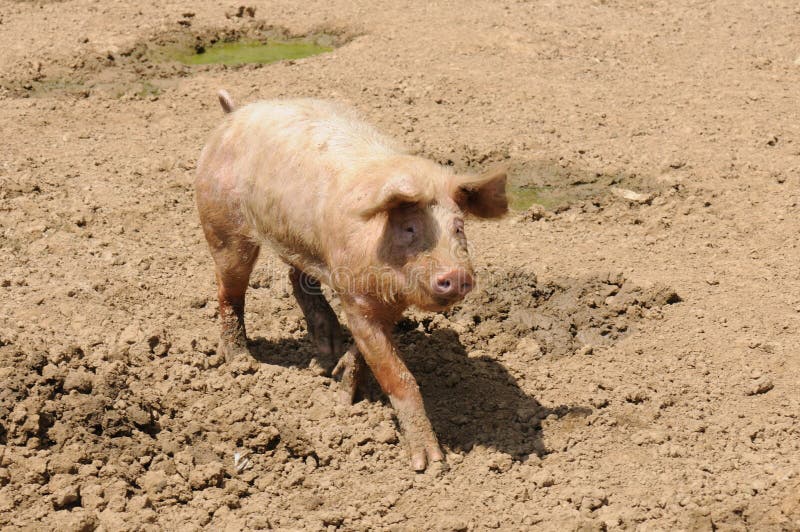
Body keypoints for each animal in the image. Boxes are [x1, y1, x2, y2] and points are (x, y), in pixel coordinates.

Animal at [195, 90, 507, 470]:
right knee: (229, 292)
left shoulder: (385, 306)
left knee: (296, 276)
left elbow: (367, 351)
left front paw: (342, 386)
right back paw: (242, 363)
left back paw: (324, 355)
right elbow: (398, 376)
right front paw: (430, 464)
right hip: (223, 226)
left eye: (459, 227)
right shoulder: (357, 299)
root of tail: (233, 114)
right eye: (409, 229)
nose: (456, 274)